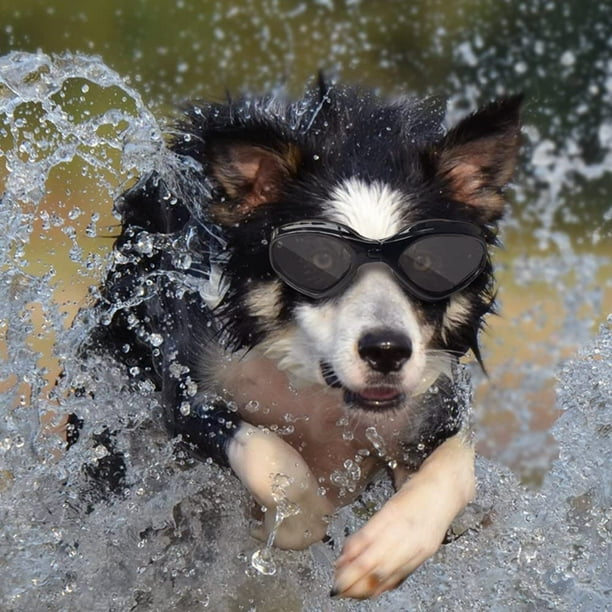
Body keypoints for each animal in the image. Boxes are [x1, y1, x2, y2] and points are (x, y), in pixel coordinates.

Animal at [88, 79, 520, 600]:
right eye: (317, 260)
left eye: (429, 262)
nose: (387, 351)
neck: (317, 387)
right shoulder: (190, 388)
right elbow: (276, 461)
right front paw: (292, 520)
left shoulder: (430, 404)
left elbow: (457, 463)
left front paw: (387, 550)